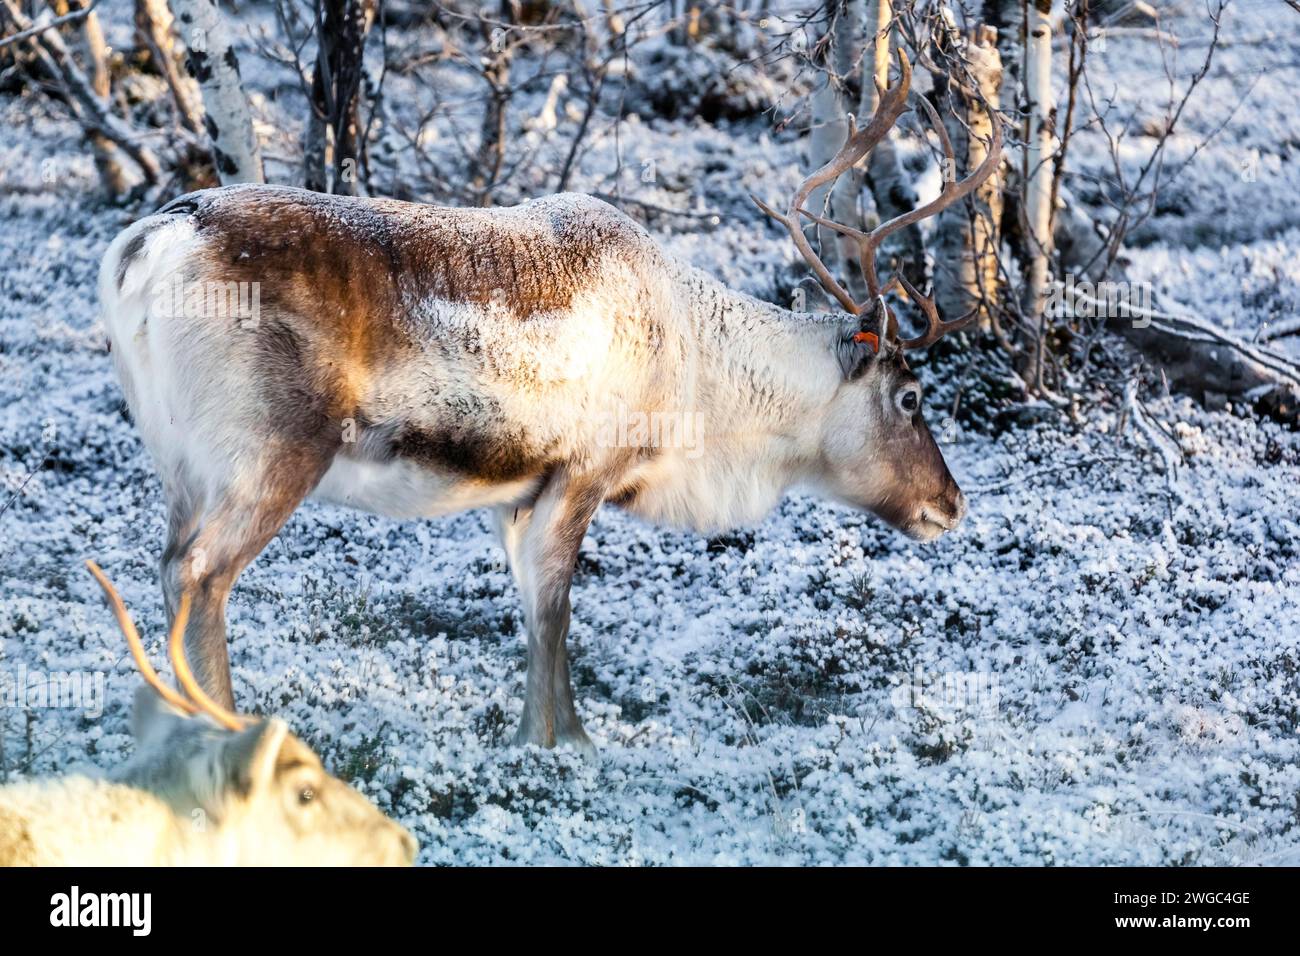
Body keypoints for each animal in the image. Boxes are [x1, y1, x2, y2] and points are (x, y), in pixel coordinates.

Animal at [96, 50, 999, 755]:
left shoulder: (517, 492)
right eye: (912, 395)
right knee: (203, 575)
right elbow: (558, 608)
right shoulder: (584, 471)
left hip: (180, 465)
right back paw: (223, 729)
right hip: (272, 452)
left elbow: (533, 608)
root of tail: (147, 243)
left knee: (168, 565)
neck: (700, 382)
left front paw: (561, 732)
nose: (952, 503)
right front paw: (557, 743)